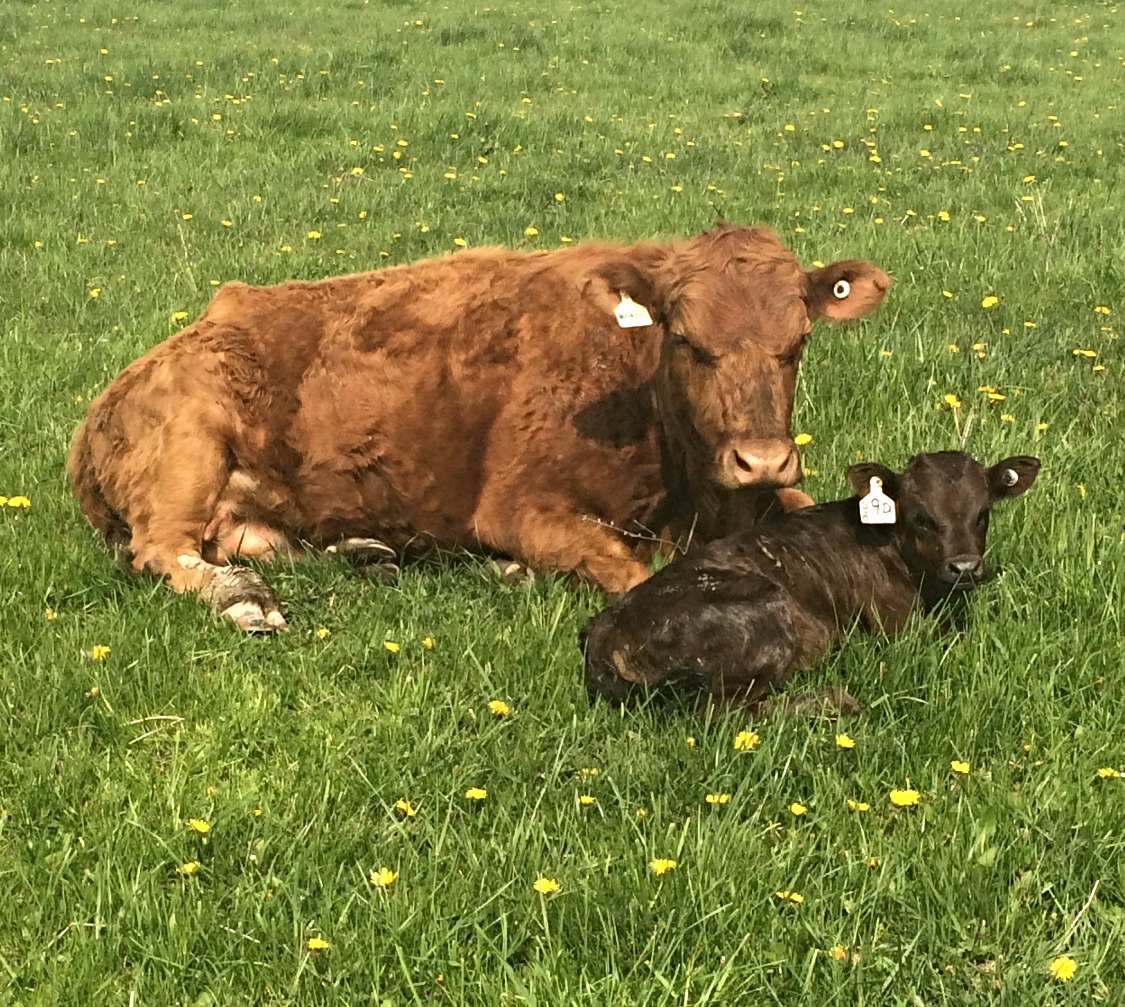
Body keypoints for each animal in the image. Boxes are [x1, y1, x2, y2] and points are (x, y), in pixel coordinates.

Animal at [67, 223, 890, 631]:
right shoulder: (517, 505)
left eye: (798, 341)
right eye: (687, 340)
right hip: (189, 443)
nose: (760, 458)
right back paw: (244, 596)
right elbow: (631, 574)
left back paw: (365, 551)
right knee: (164, 550)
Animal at [581, 451, 1040, 712]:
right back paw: (837, 701)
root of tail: (603, 631)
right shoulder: (902, 624)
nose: (964, 566)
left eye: (983, 513)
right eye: (921, 516)